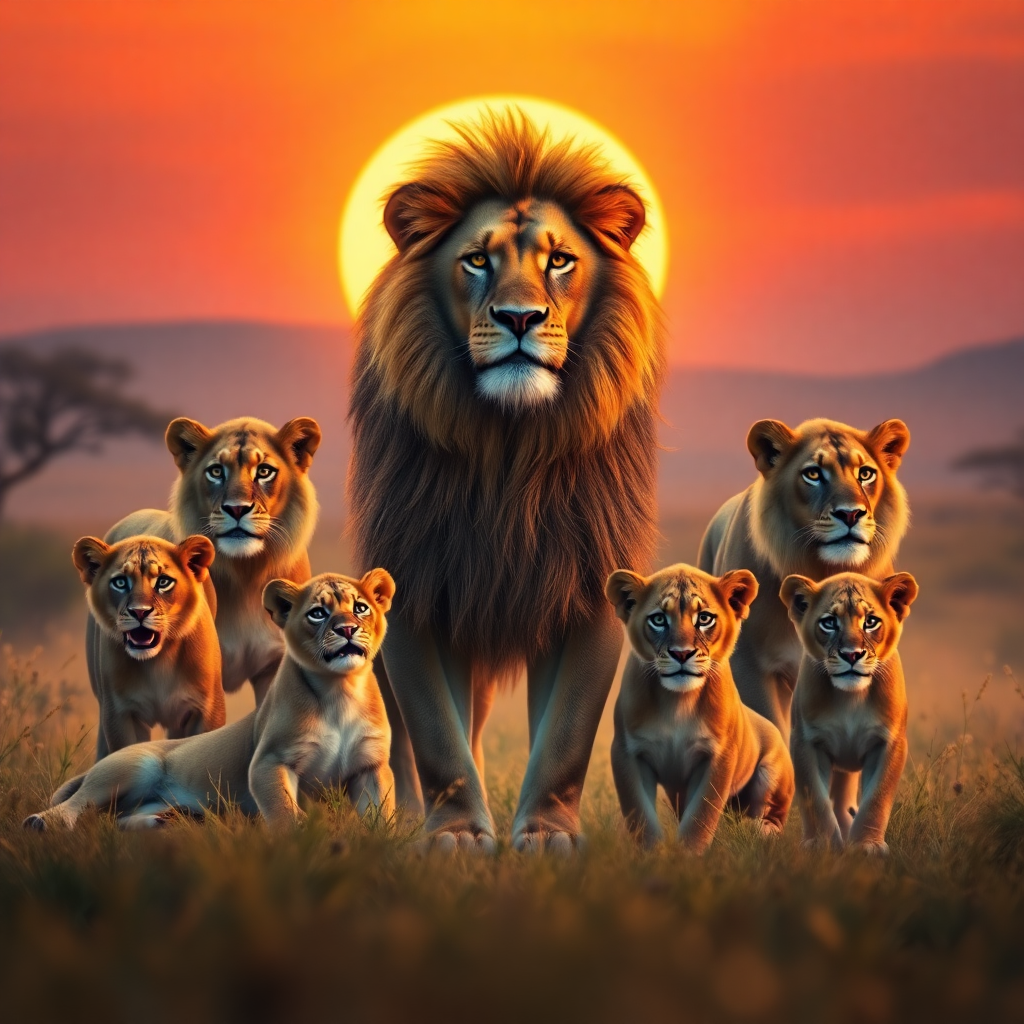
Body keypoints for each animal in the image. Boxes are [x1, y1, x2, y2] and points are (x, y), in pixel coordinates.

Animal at [26, 571, 396, 831]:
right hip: (128, 767)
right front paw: (303, 837)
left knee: (120, 818)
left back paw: (170, 821)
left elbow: (381, 813)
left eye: (360, 608)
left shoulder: (371, 766)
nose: (347, 629)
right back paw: (41, 822)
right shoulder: (269, 761)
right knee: (78, 803)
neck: (340, 690)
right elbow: (283, 810)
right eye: (318, 613)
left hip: (145, 799)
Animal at [73, 533, 224, 757]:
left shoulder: (208, 708)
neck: (159, 660)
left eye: (163, 582)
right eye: (120, 582)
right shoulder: (120, 712)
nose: (140, 612)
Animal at [348, 110, 665, 852]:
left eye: (559, 260)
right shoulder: (416, 584)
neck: (509, 450)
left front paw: (546, 836)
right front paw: (458, 836)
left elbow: (566, 736)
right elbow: (436, 735)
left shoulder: (589, 584)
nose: (520, 318)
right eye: (477, 260)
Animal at [606, 563, 793, 852]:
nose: (682, 654)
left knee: (770, 815)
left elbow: (701, 816)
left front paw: (689, 856)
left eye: (704, 618)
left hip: (774, 772)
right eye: (658, 619)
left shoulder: (718, 755)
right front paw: (652, 856)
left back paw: (758, 831)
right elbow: (641, 816)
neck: (678, 702)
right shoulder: (627, 752)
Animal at [780, 571, 918, 854]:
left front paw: (866, 845)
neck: (851, 698)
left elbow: (877, 798)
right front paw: (822, 844)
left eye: (871, 622)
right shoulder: (806, 741)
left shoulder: (889, 742)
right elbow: (815, 799)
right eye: (829, 622)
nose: (852, 655)